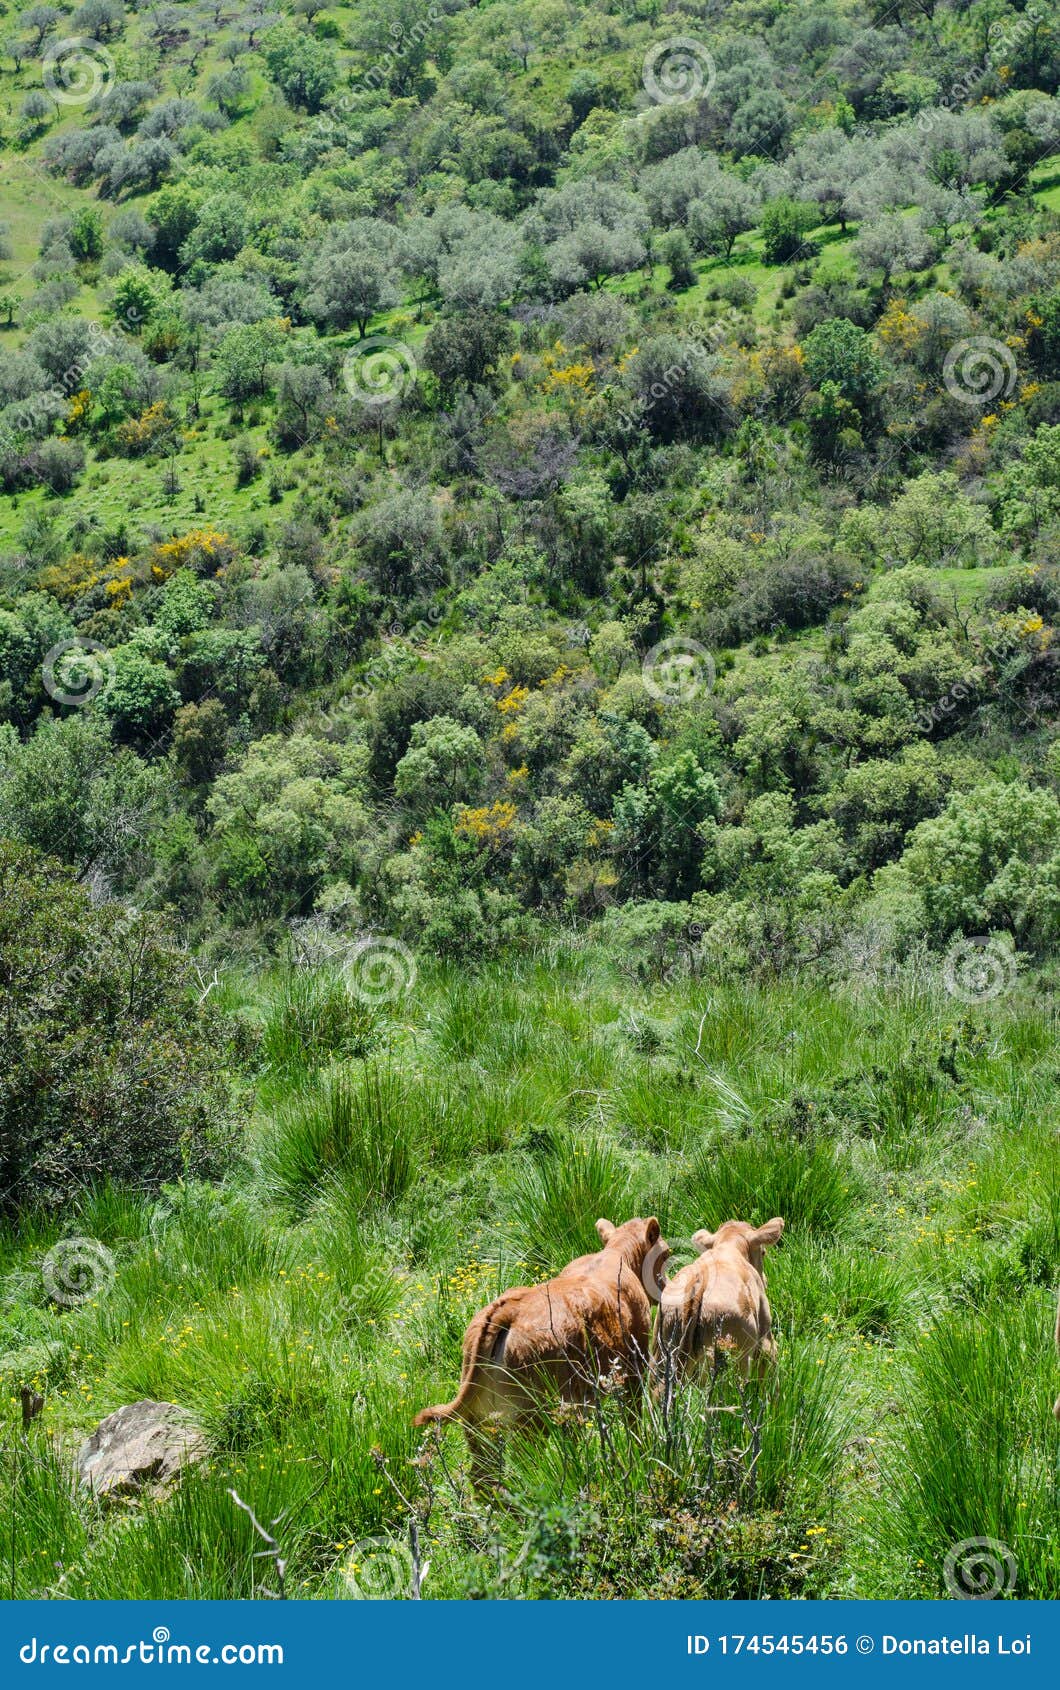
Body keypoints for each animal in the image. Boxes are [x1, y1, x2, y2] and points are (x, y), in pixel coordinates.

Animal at [414, 1216, 668, 1487]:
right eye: (667, 1253)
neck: (618, 1255)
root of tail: (509, 1309)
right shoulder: (634, 1370)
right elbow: (633, 1422)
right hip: (532, 1419)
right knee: (527, 1468)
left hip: (479, 1420)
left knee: (484, 1476)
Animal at [655, 1217, 784, 1405]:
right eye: (763, 1252)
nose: (765, 1280)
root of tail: (698, 1281)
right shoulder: (765, 1336)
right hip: (729, 1356)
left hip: (664, 1349)